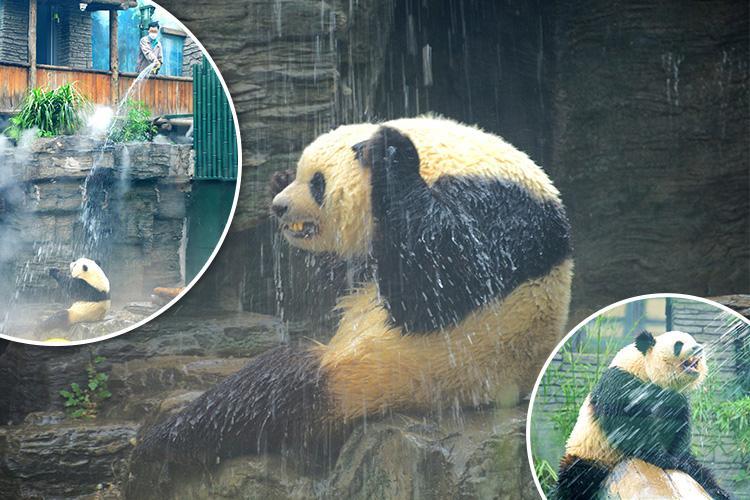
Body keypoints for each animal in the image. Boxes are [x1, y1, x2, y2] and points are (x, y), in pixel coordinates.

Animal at [128, 116, 573, 492]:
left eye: (318, 183)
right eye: (300, 175)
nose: (279, 207)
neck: (448, 157)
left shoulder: (495, 206)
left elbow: (437, 283)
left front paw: (390, 154)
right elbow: (349, 279)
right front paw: (277, 180)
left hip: (384, 376)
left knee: (269, 389)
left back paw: (163, 441)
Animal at [556, 330, 731, 500]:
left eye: (693, 340)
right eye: (679, 344)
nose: (698, 348)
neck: (645, 371)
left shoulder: (675, 396)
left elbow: (680, 427)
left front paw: (679, 460)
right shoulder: (622, 383)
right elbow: (631, 428)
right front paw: (666, 460)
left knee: (702, 473)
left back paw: (719, 492)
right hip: (591, 454)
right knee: (577, 480)